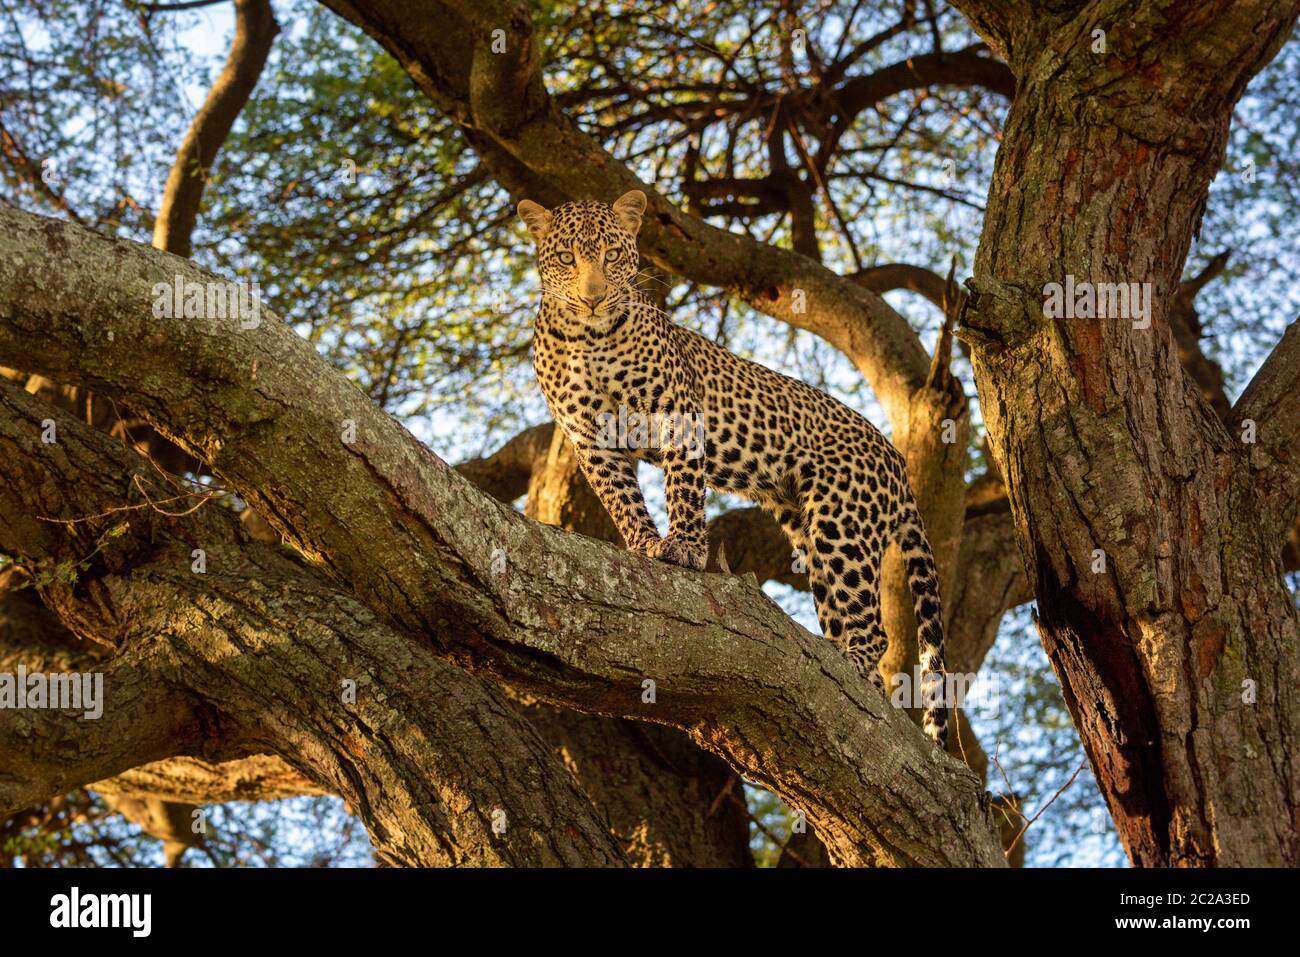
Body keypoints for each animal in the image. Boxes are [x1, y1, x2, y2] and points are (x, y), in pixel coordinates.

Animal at [517, 189, 948, 747]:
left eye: (612, 255)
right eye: (567, 258)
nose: (593, 297)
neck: (585, 338)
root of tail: (899, 464)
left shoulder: (678, 412)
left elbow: (683, 488)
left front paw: (685, 548)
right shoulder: (591, 442)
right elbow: (623, 501)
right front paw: (645, 544)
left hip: (844, 522)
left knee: (875, 632)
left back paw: (854, 663)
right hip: (811, 533)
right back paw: (841, 662)